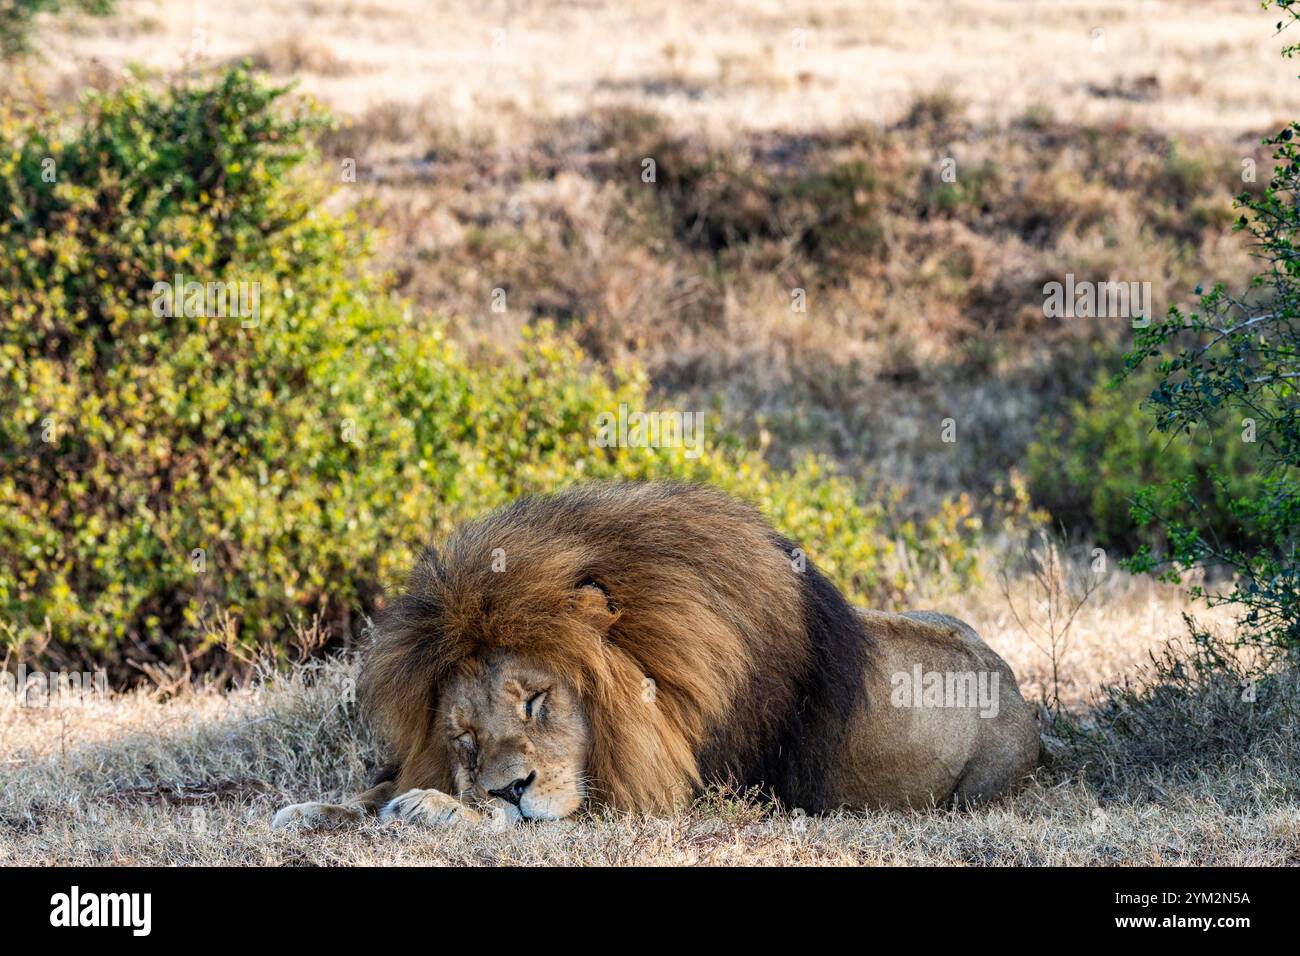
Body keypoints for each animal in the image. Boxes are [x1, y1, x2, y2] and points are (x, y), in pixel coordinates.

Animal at [272, 482, 1039, 830]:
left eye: (536, 699)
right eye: (463, 735)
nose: (509, 786)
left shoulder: (673, 797)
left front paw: (434, 806)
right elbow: (371, 793)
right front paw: (311, 809)